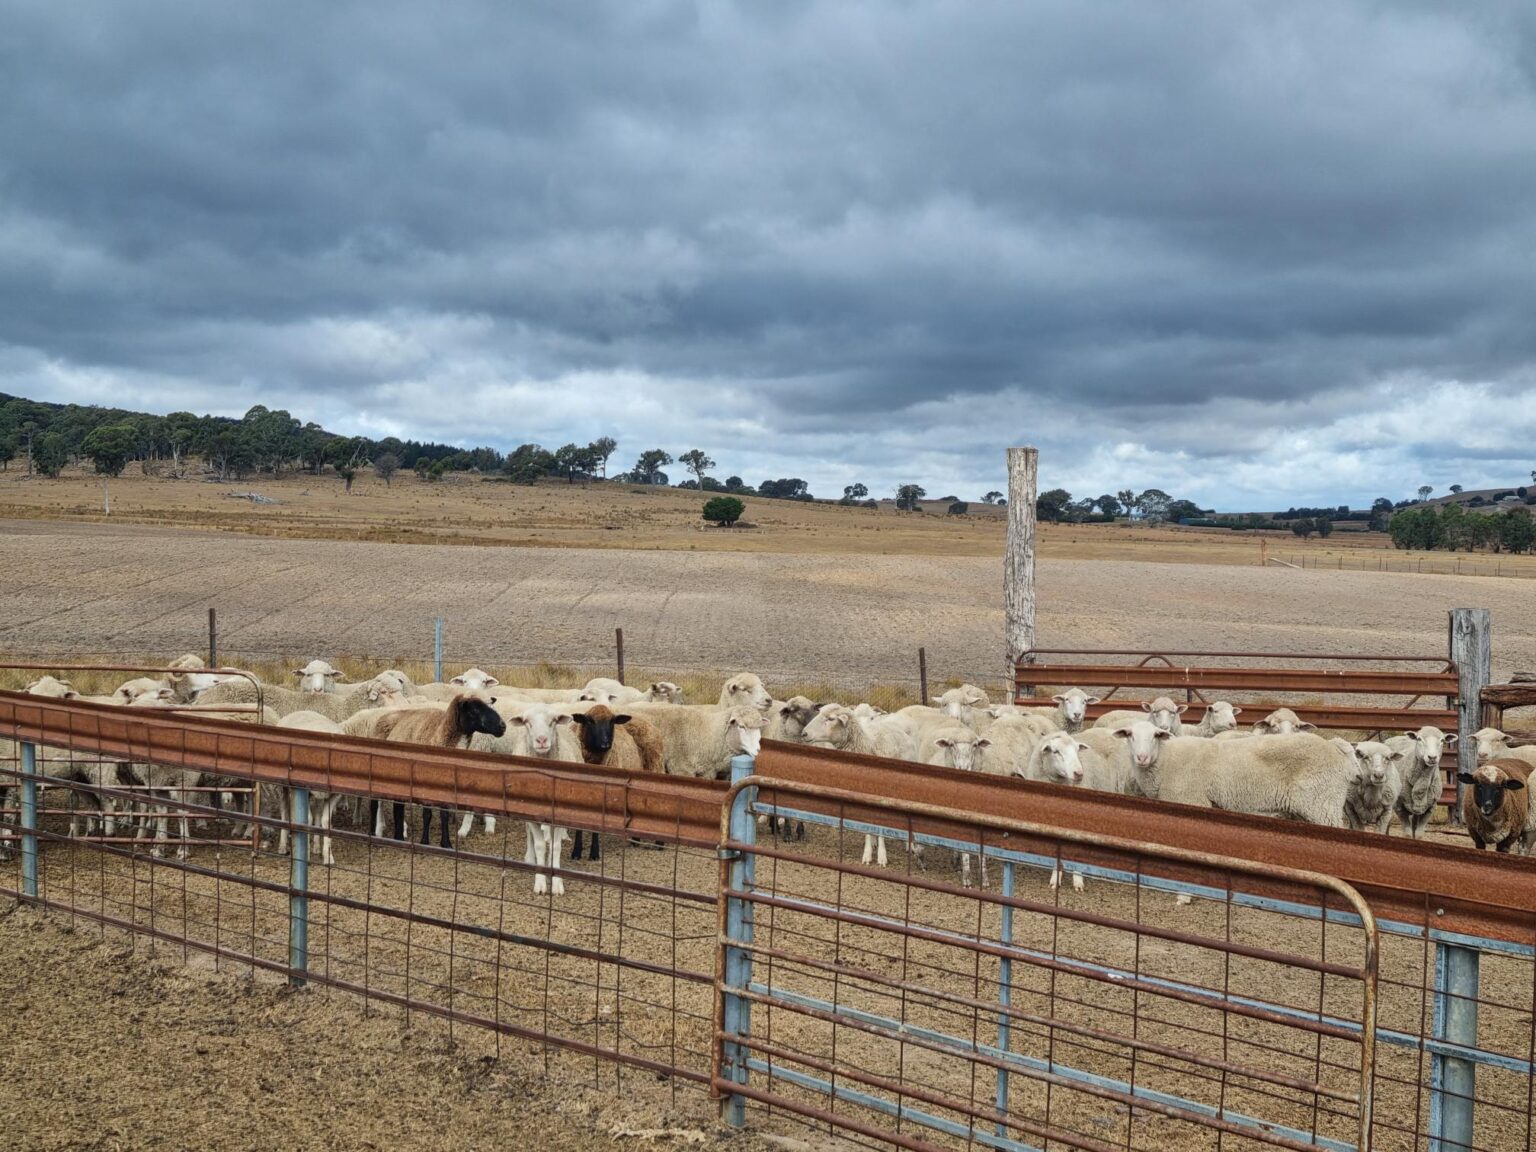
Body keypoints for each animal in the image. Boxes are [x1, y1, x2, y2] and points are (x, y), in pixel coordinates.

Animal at [374, 691, 507, 849]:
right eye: (474, 710)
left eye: (491, 706)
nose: (503, 726)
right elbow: (427, 814)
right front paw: (425, 841)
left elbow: (444, 815)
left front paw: (446, 843)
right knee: (380, 801)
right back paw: (380, 831)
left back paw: (401, 833)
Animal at [567, 705, 665, 862]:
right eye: (589, 721)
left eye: (612, 721)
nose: (605, 744)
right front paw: (576, 852)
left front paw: (594, 853)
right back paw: (635, 840)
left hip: (655, 769)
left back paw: (659, 843)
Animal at [801, 704, 917, 867]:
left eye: (830, 719)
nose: (804, 733)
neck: (866, 746)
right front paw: (868, 853)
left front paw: (882, 856)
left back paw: (909, 844)